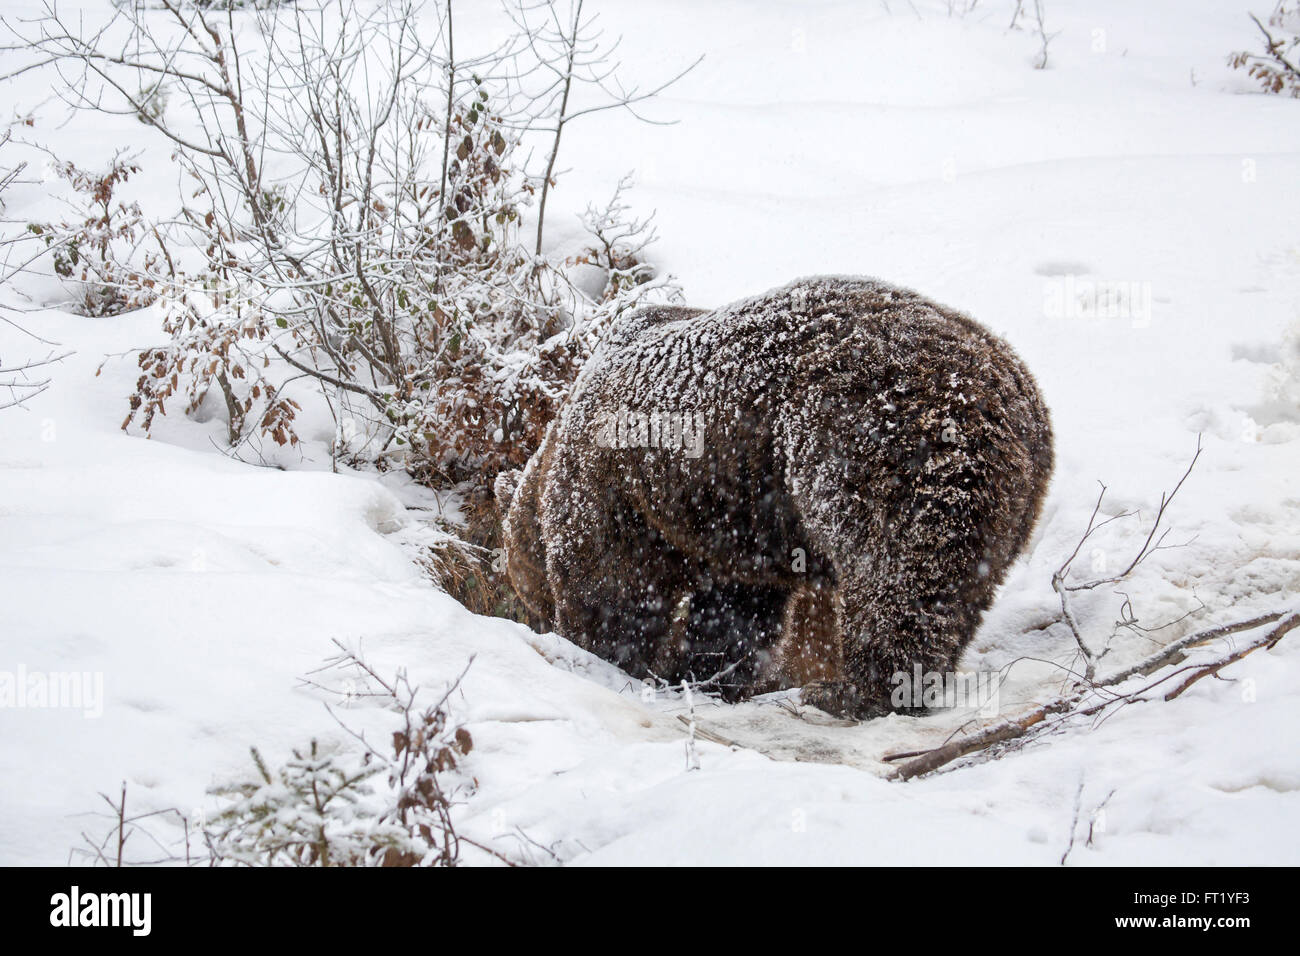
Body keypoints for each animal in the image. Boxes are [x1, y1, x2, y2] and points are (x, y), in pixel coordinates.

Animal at [495, 276, 1053, 718]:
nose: (533, 615)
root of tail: (1010, 396)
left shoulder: (615, 485)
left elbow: (612, 585)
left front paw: (609, 656)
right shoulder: (734, 524)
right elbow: (734, 614)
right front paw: (700, 673)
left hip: (876, 442)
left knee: (895, 572)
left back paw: (848, 691)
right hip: (1012, 498)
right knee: (960, 588)